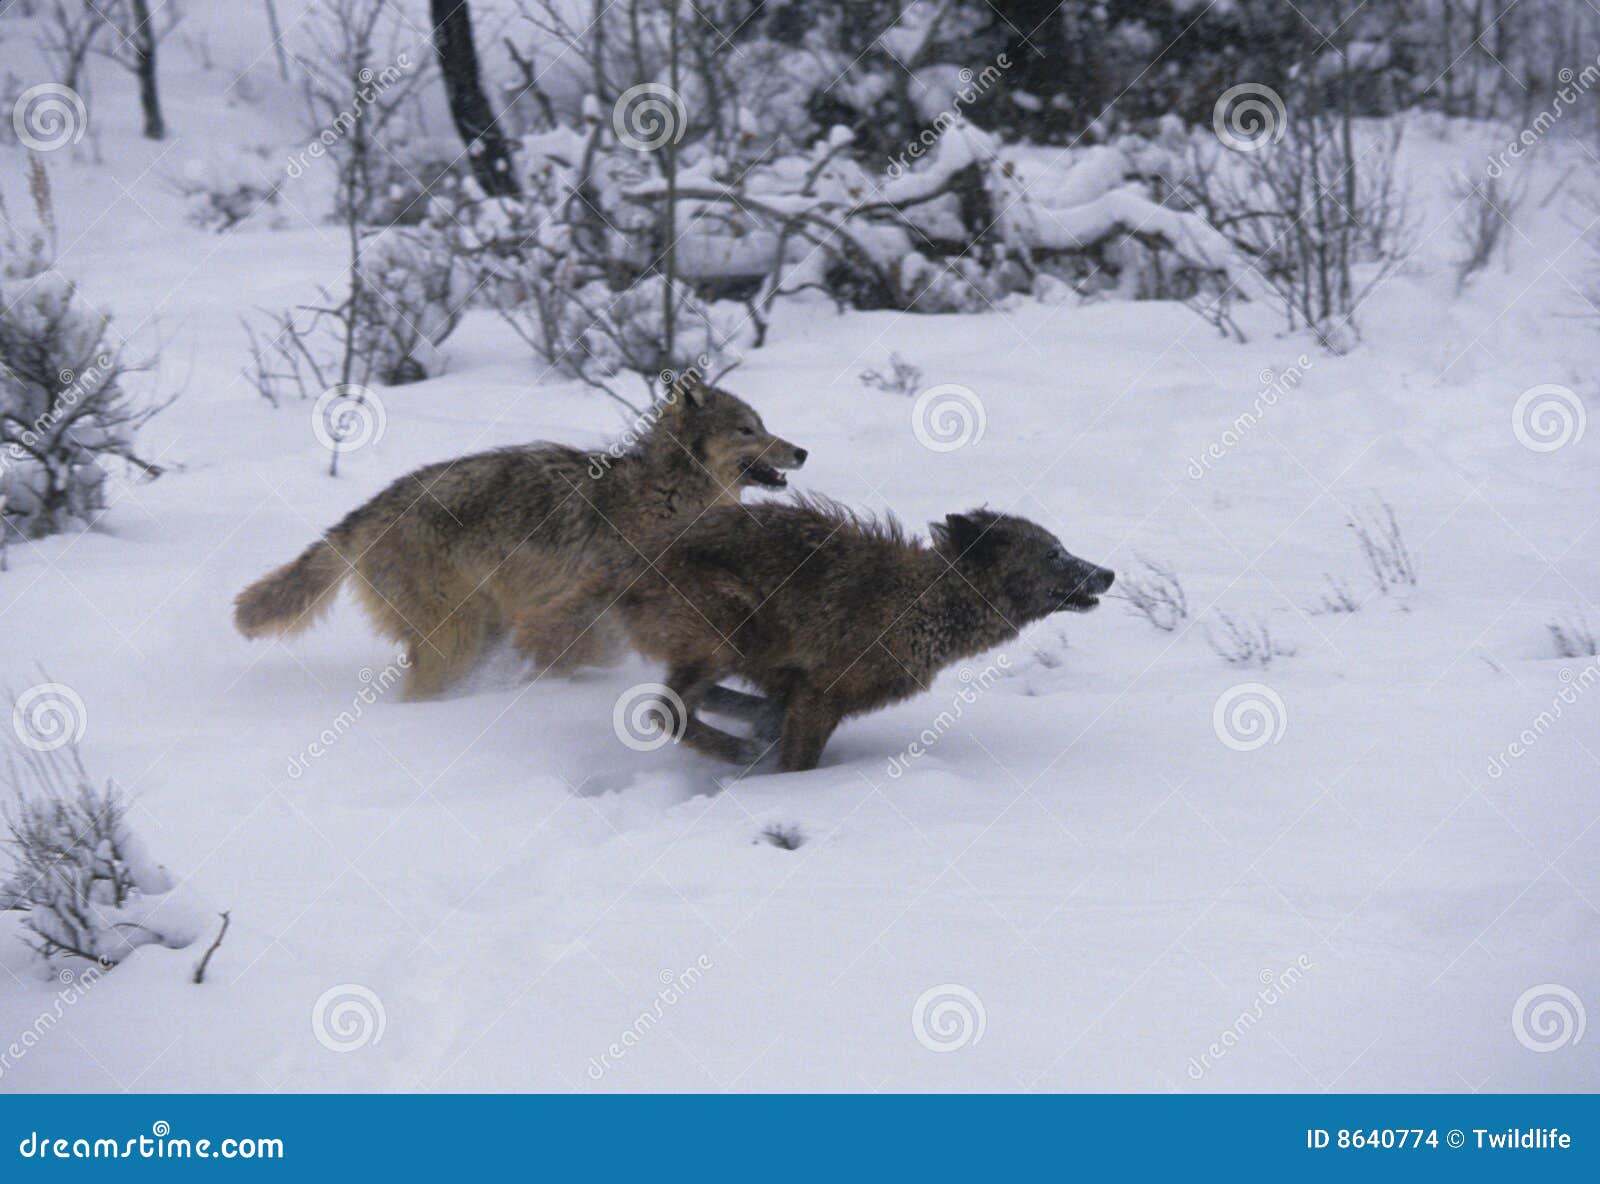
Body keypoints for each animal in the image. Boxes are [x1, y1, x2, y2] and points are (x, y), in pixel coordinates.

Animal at [233, 375, 806, 698]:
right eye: (748, 429)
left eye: (763, 425)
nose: (801, 451)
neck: (665, 492)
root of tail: (365, 511)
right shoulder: (587, 602)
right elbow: (586, 647)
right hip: (459, 635)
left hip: (478, 627)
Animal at [552, 496, 1114, 771]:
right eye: (1053, 554)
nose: (1107, 573)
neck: (923, 604)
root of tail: (622, 564)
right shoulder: (819, 697)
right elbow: (797, 764)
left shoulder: (798, 690)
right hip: (729, 627)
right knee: (665, 712)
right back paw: (742, 755)